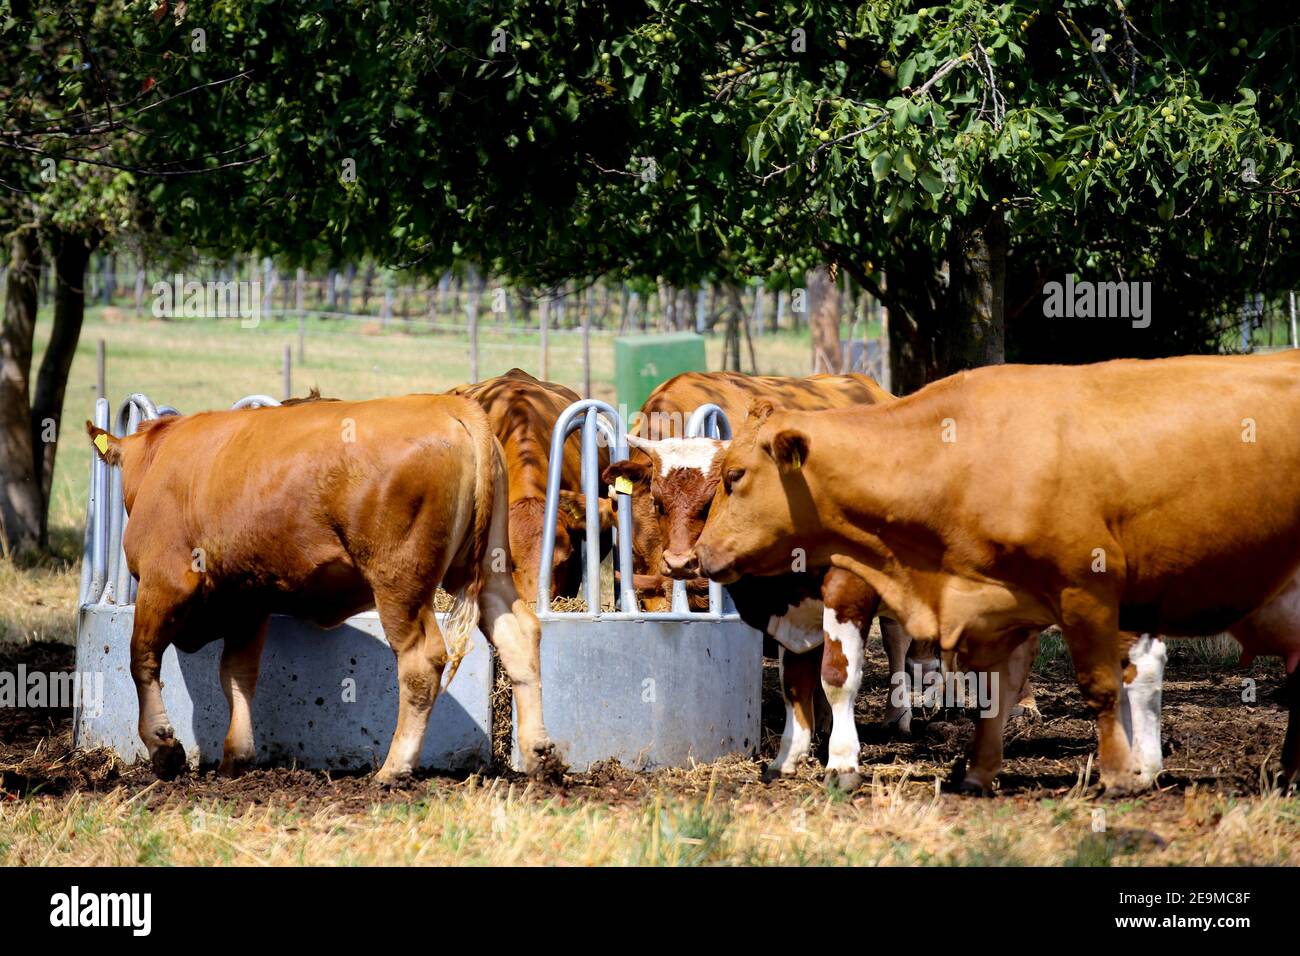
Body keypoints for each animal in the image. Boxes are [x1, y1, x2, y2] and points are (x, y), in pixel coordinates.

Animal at [86, 394, 563, 783]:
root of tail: (447, 405)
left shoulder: (164, 581)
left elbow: (142, 658)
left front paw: (163, 747)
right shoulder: (248, 601)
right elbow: (237, 675)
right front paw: (236, 756)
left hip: (399, 582)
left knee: (421, 660)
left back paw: (394, 768)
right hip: (489, 569)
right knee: (519, 634)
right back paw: (538, 754)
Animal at [694, 352, 1300, 795]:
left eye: (734, 475)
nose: (699, 555)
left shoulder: (1079, 589)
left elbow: (837, 675)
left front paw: (842, 764)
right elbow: (801, 683)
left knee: (1139, 668)